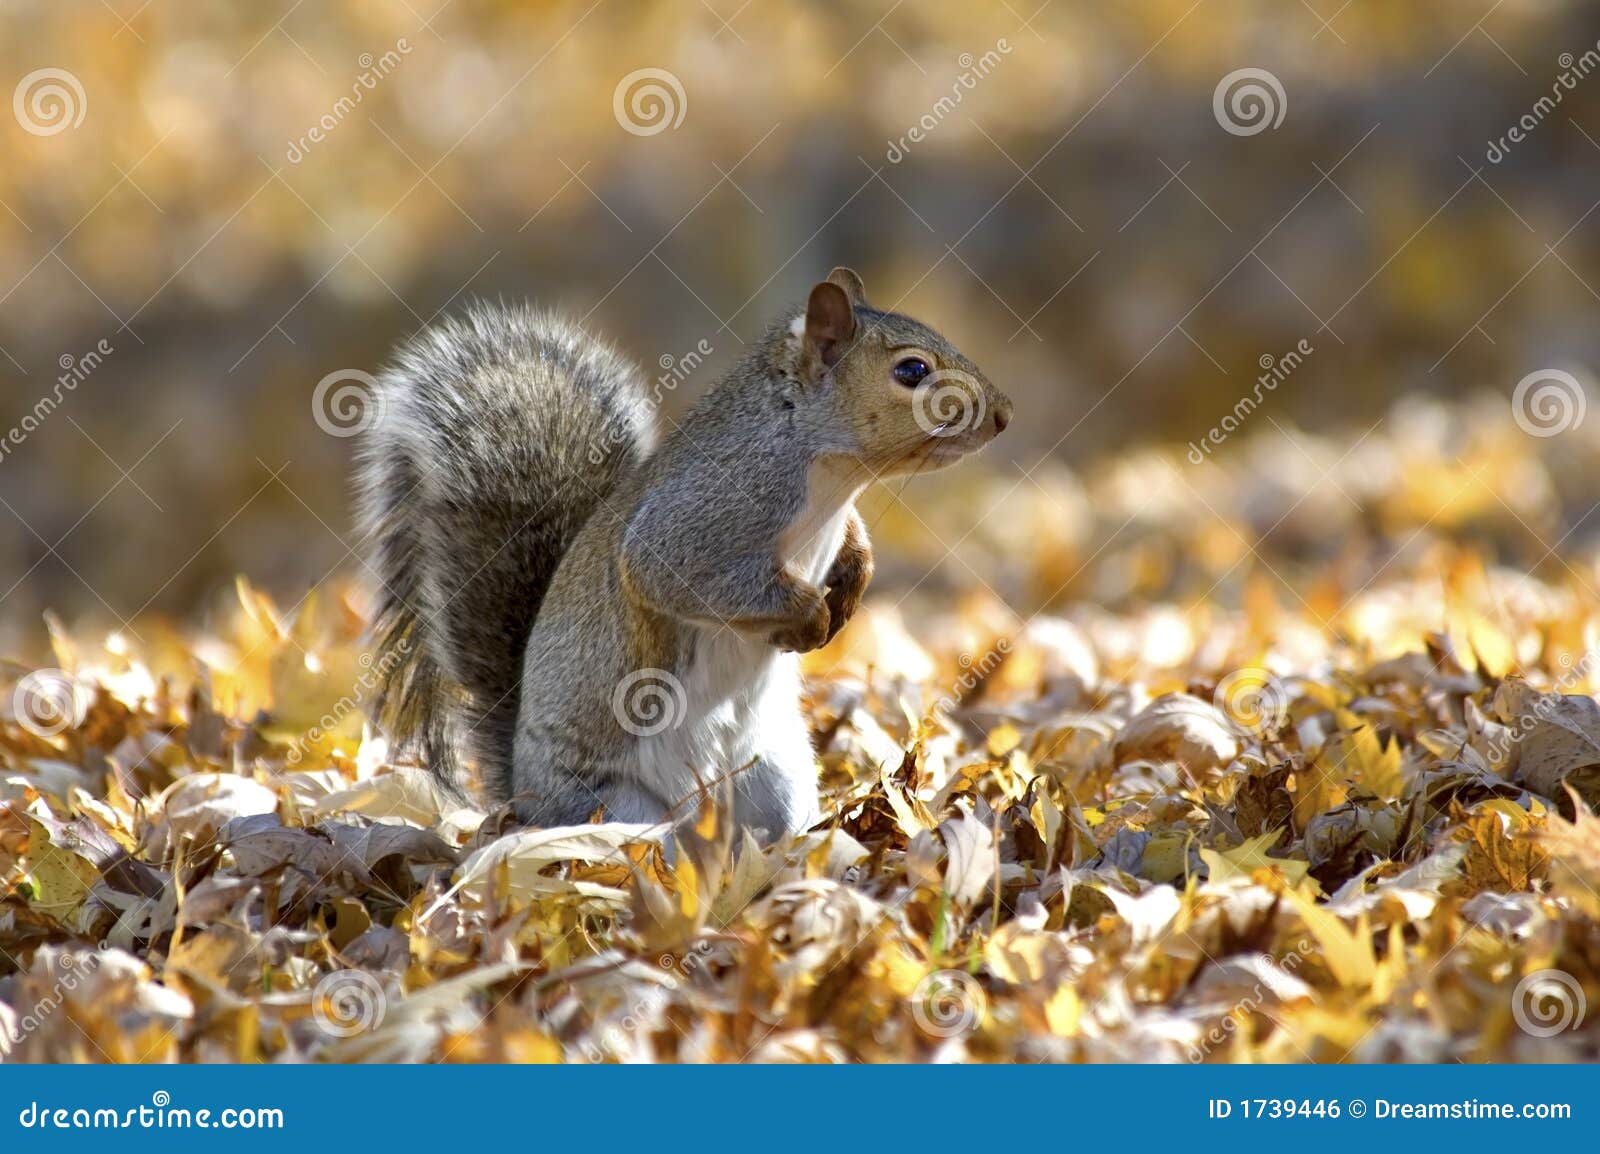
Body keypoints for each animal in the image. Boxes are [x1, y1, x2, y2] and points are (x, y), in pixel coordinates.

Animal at [356, 267, 1011, 843]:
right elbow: (677, 575)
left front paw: (852, 584)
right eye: (912, 370)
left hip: (776, 779)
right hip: (614, 807)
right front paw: (809, 616)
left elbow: (853, 541)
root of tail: (521, 793)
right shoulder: (708, 512)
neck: (831, 476)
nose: (1004, 416)